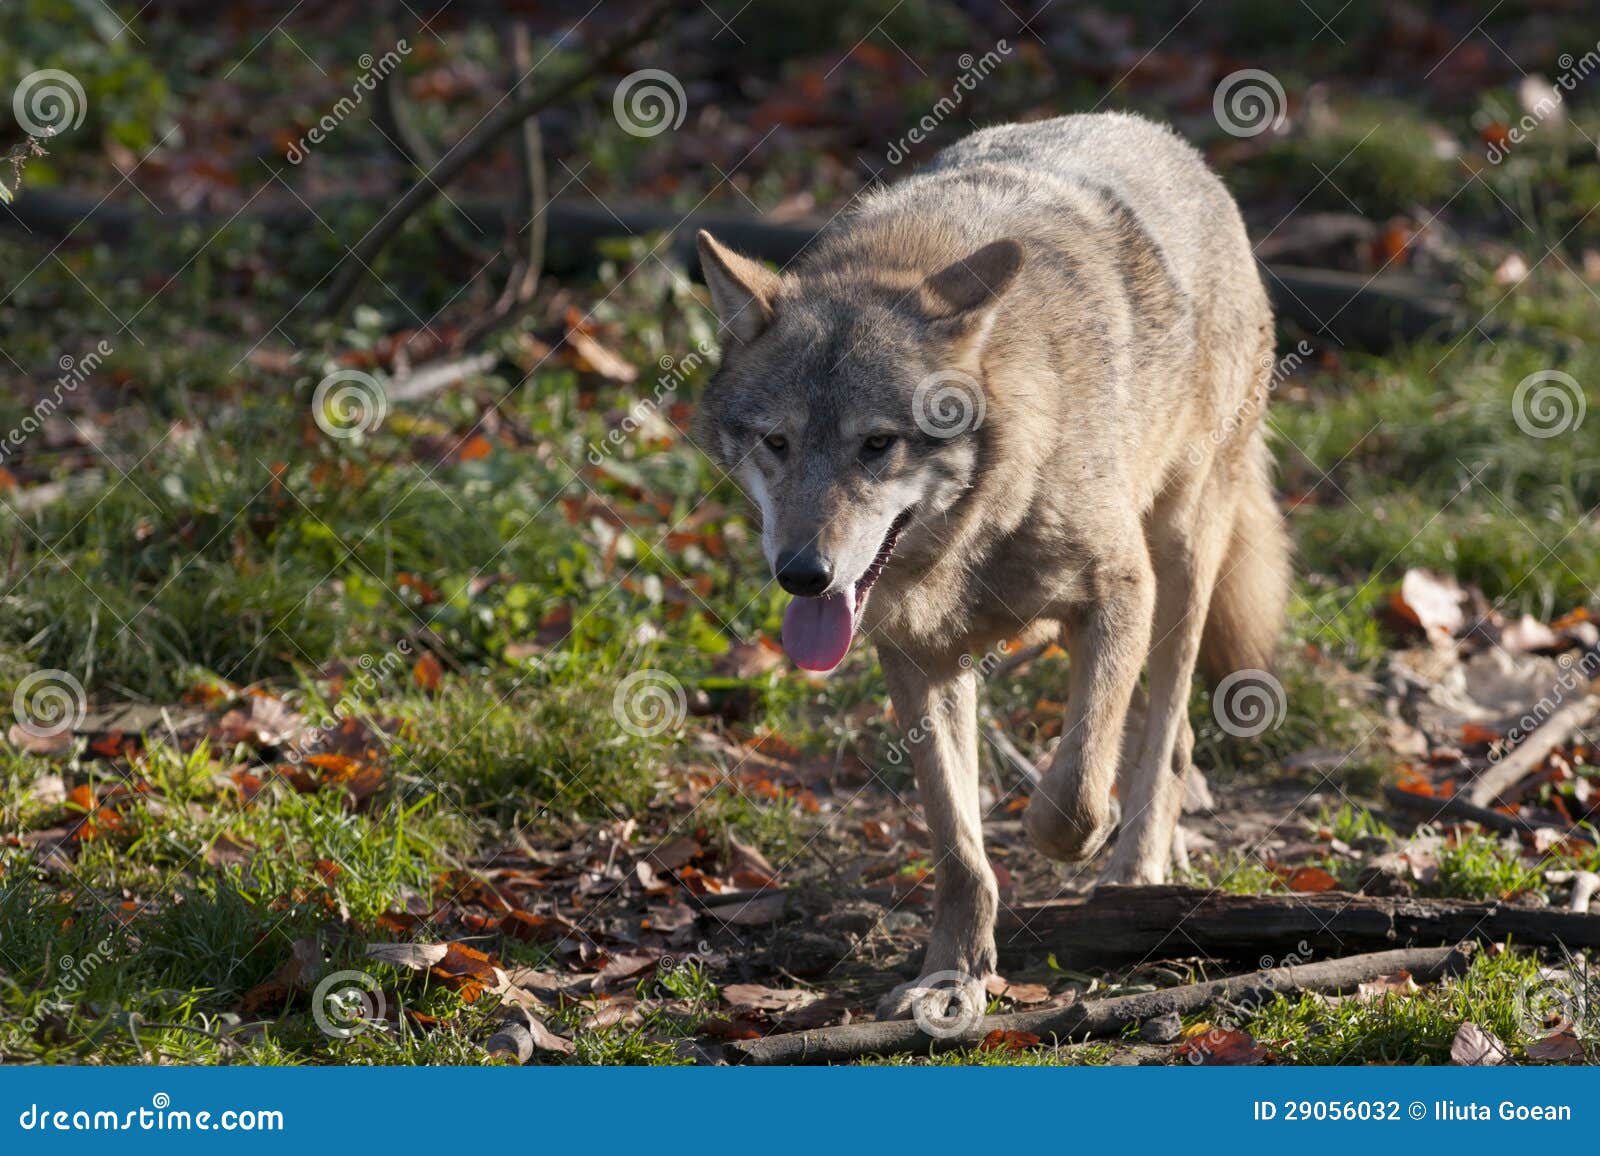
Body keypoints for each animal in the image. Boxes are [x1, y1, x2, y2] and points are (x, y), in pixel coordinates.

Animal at [693, 112, 1290, 1018]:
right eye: (777, 442)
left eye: (878, 445)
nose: (803, 573)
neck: (974, 531)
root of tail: (1168, 140)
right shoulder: (915, 658)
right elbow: (958, 848)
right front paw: (953, 979)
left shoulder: (1121, 593)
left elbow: (1071, 797)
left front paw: (1085, 834)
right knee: (1173, 733)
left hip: (1182, 561)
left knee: (1161, 727)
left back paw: (1138, 867)